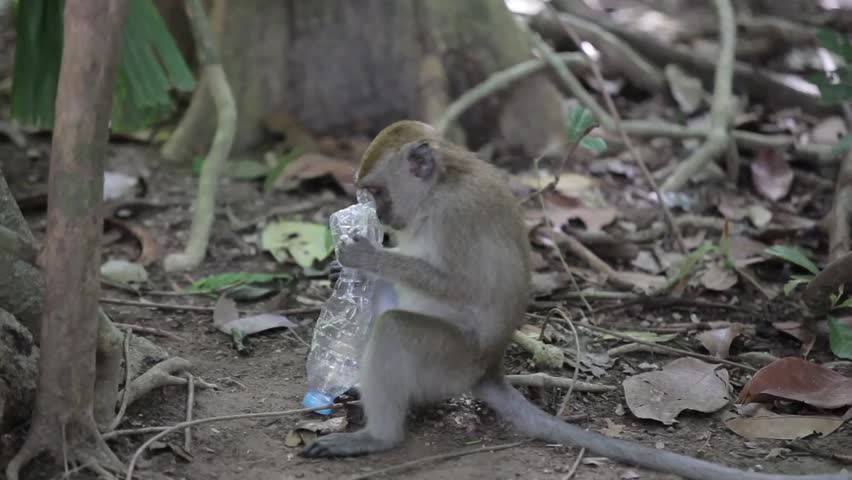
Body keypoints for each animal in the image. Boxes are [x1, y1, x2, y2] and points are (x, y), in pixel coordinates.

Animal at [302, 120, 850, 480]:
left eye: (376, 192)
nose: (381, 217)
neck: (442, 184)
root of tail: (487, 369)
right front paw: (347, 263)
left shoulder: (458, 215)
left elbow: (461, 286)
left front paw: (366, 254)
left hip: (447, 362)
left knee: (395, 328)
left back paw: (379, 435)